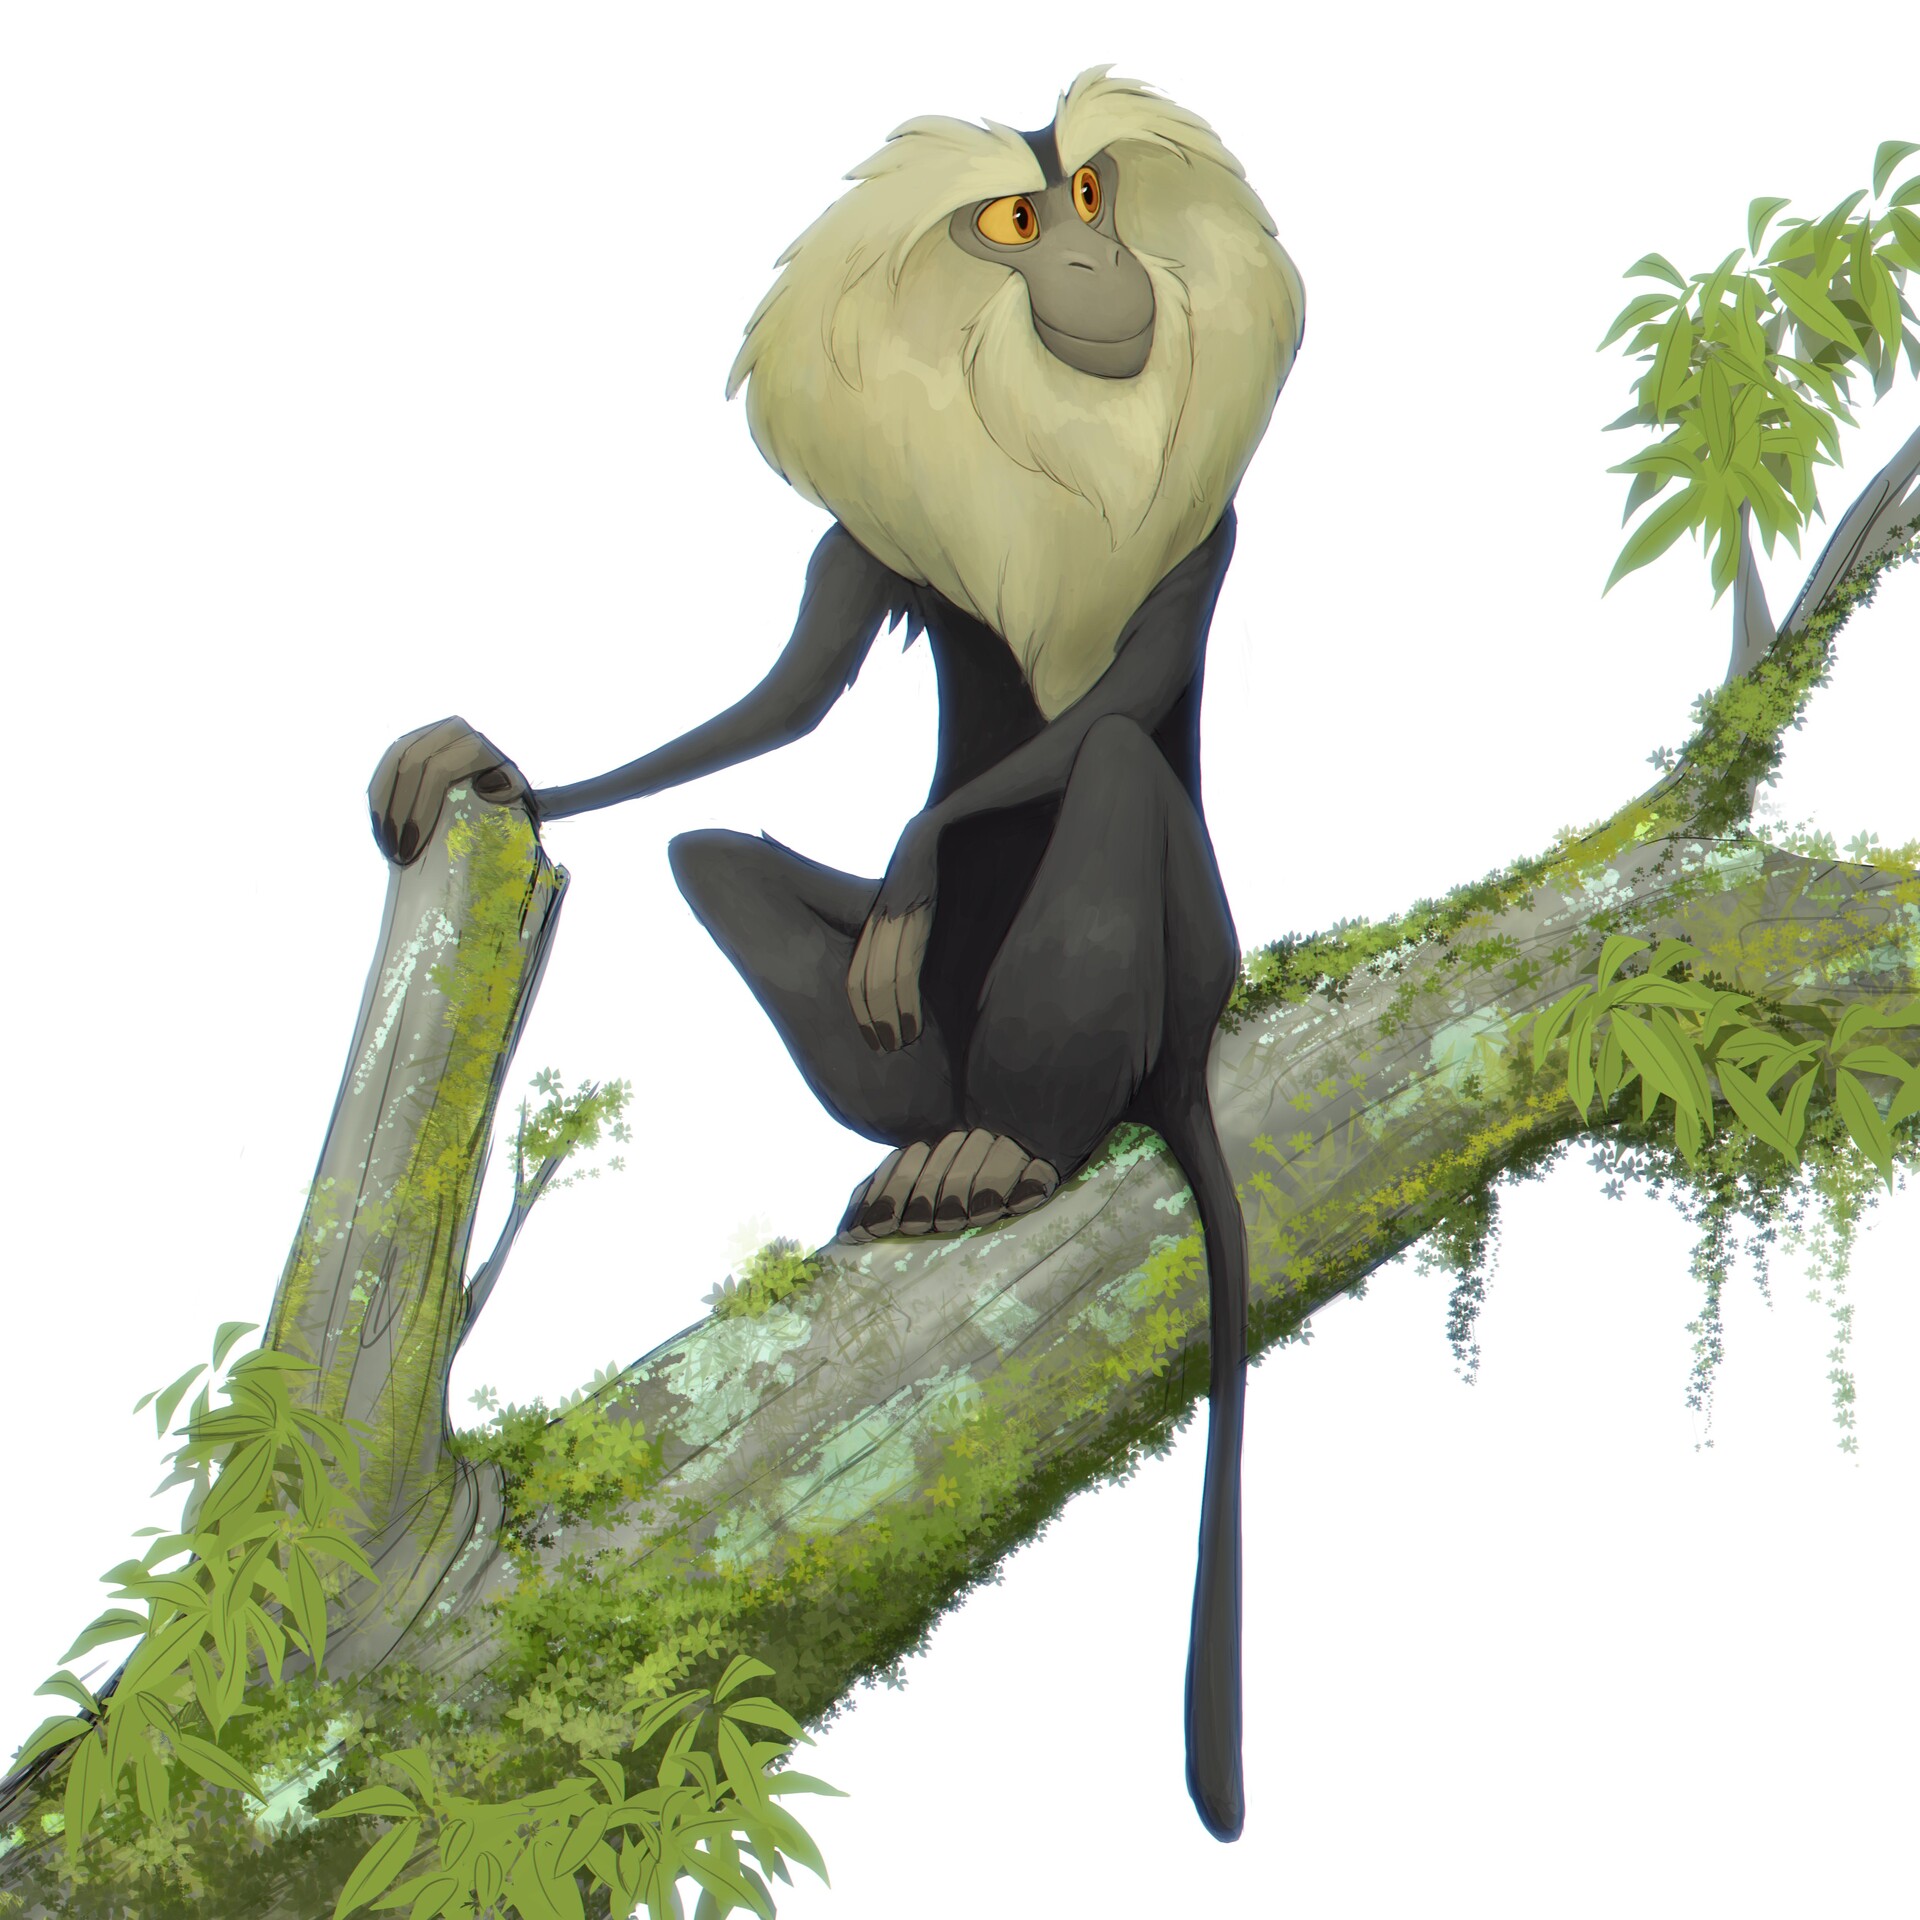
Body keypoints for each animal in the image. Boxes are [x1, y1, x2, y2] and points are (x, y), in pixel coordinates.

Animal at [370, 68, 1305, 1841]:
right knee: (714, 857)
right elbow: (780, 702)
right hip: (919, 1043)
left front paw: (923, 866)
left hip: (1180, 976)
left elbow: (1114, 696)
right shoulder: (876, 546)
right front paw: (498, 773)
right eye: (1017, 220)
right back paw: (923, 1154)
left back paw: (1007, 1152)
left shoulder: (1207, 536)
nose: (1095, 264)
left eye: (1096, 197)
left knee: (1115, 771)